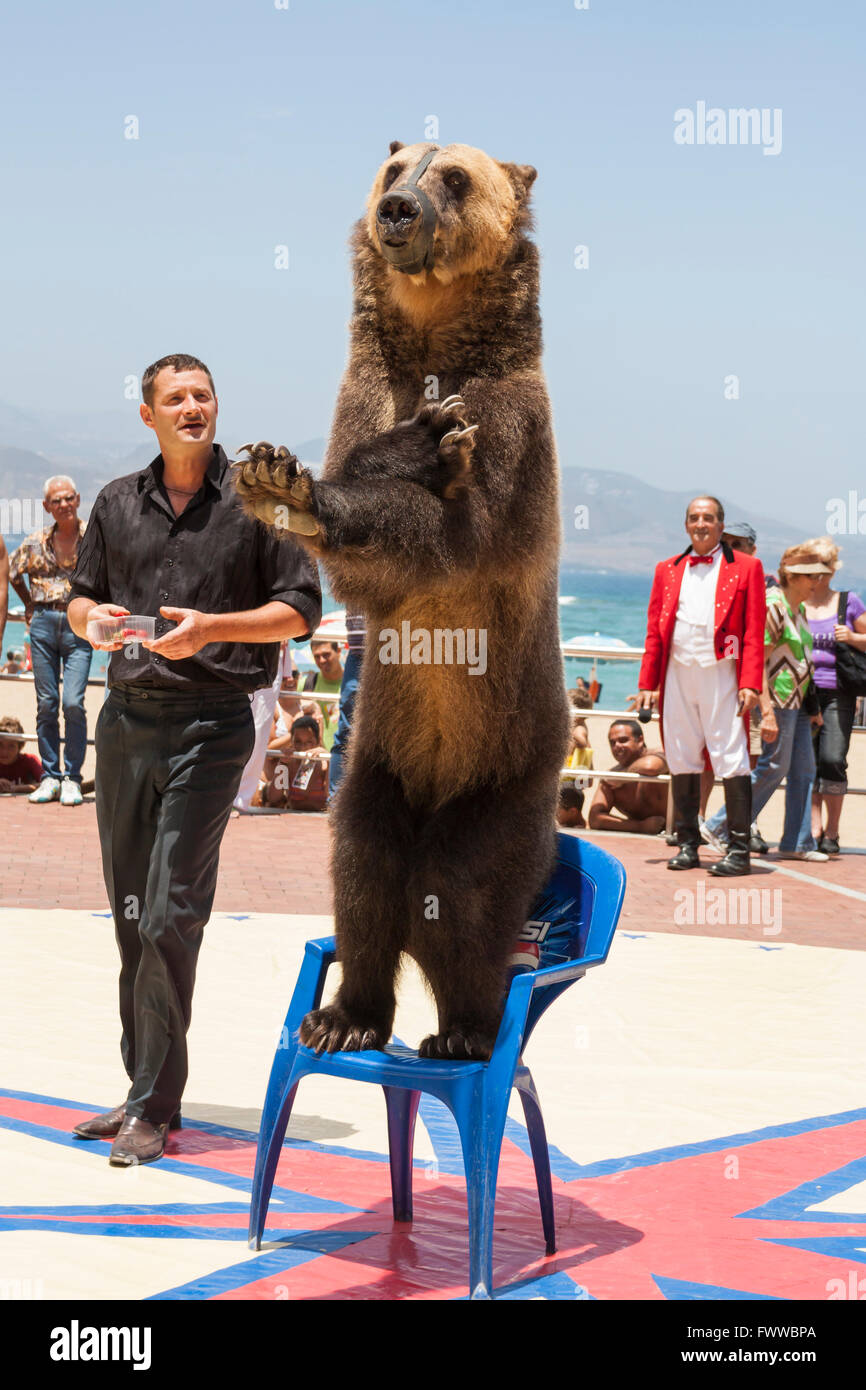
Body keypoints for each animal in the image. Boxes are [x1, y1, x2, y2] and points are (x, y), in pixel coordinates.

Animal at [234, 140, 570, 1060]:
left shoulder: (510, 423)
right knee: (364, 868)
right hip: (376, 762)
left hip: (512, 765)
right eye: (396, 171)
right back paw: (345, 1015)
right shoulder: (367, 383)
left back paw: (466, 1028)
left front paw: (363, 469)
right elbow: (369, 565)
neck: (433, 336)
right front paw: (283, 474)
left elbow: (454, 538)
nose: (399, 211)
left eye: (454, 177)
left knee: (462, 886)